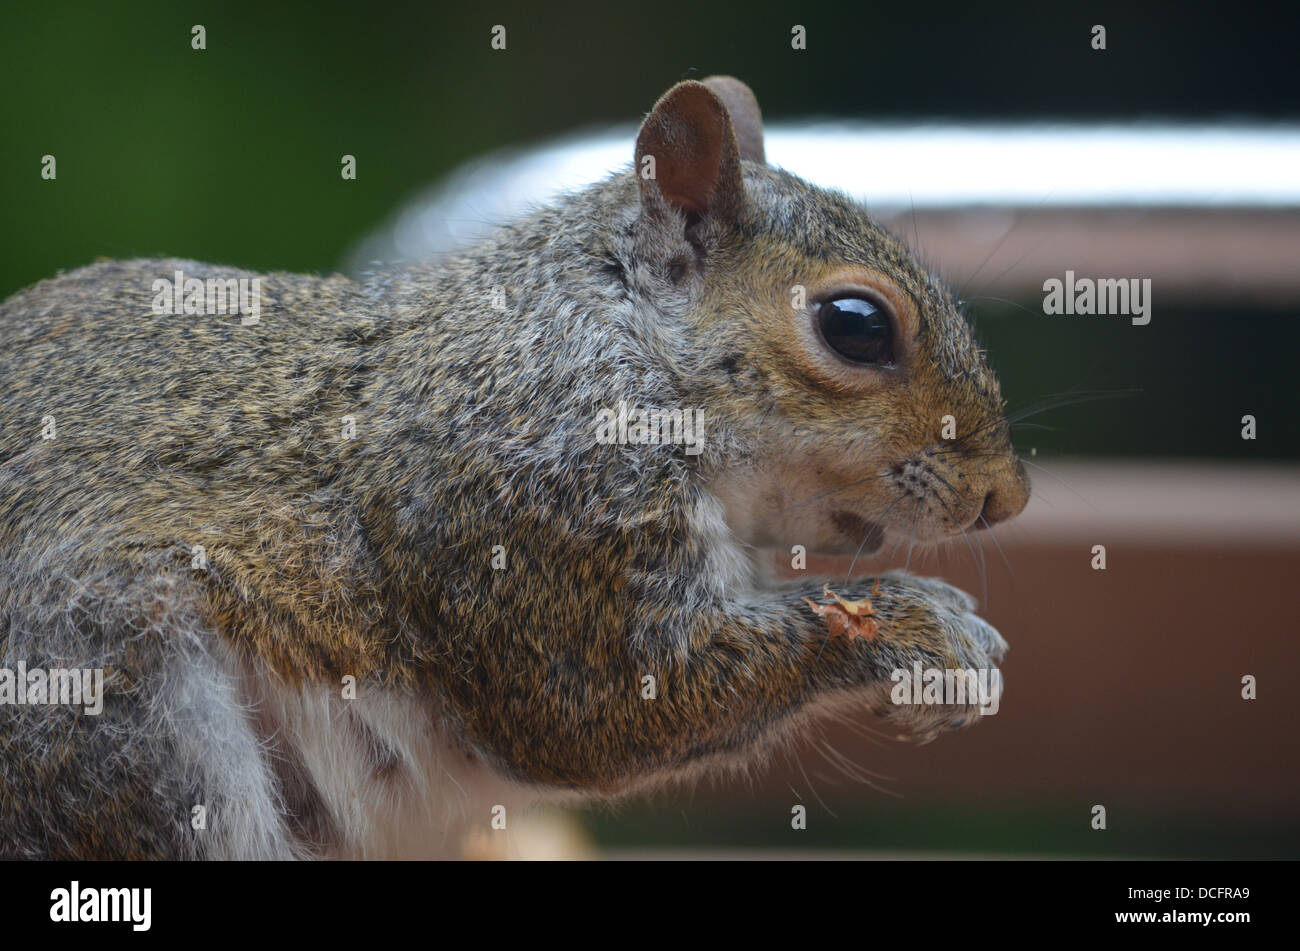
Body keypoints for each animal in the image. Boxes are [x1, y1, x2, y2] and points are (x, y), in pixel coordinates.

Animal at [0, 76, 1029, 859]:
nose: (1006, 497)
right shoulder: (541, 507)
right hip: (116, 713)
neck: (619, 353)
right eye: (855, 325)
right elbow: (612, 700)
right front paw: (928, 627)